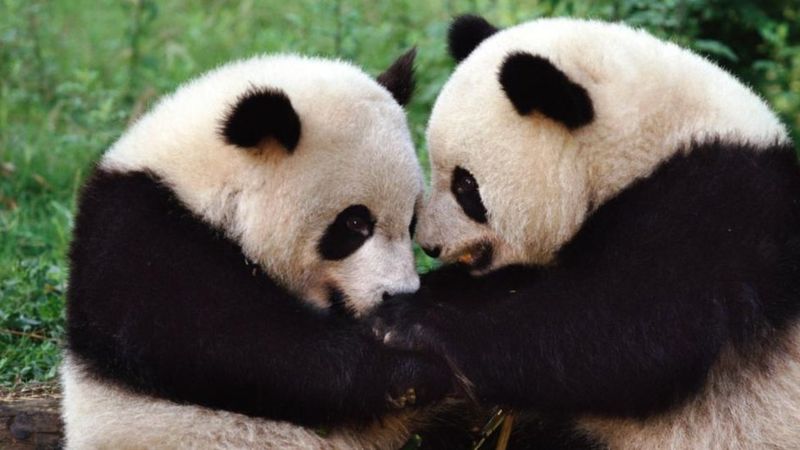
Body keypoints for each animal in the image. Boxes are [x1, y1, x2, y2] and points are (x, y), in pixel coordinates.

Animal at [62, 50, 453, 449]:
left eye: (411, 221)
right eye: (355, 223)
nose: (398, 293)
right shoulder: (144, 241)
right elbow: (244, 347)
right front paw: (415, 371)